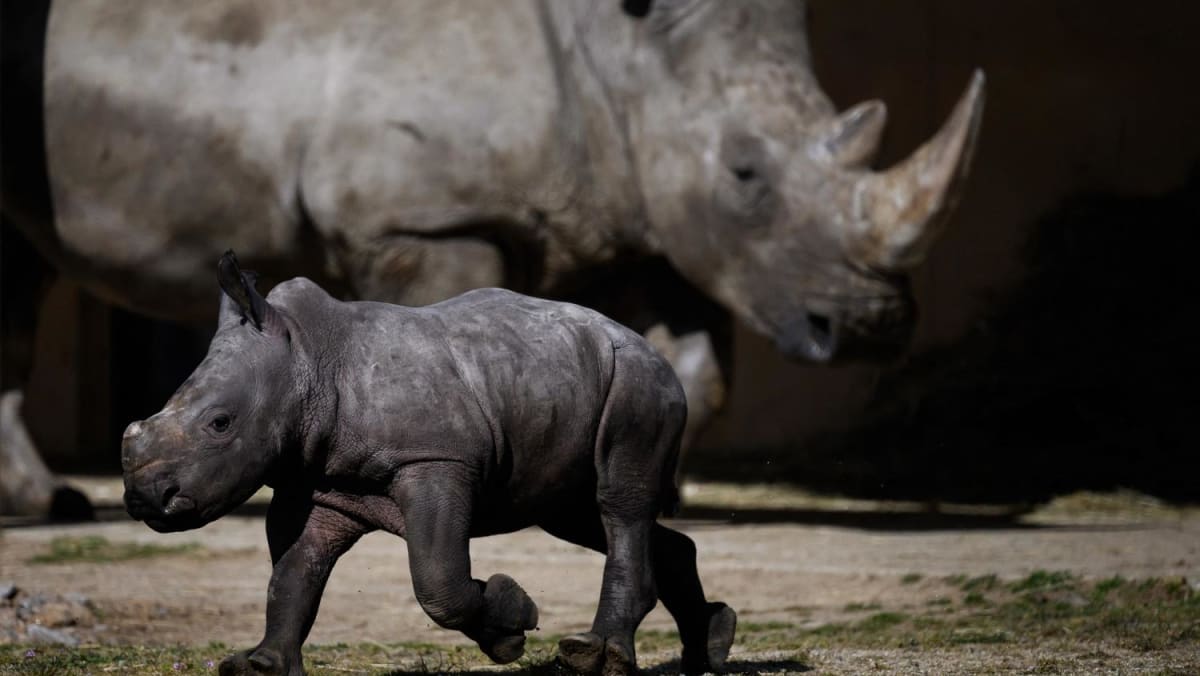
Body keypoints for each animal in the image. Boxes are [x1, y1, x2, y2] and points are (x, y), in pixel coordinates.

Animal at [2, 0, 984, 515]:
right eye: (746, 173)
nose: (871, 328)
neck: (619, 56)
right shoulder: (427, 216)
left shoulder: (642, 209)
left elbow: (694, 370)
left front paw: (649, 496)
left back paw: (42, 502)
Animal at [121, 252, 736, 676]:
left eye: (220, 423)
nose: (144, 498)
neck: (307, 360)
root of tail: (645, 345)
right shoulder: (315, 482)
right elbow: (292, 572)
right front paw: (261, 665)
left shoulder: (436, 459)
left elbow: (438, 580)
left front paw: (512, 624)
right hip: (569, 388)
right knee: (578, 514)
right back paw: (709, 650)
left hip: (637, 382)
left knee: (617, 503)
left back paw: (595, 656)